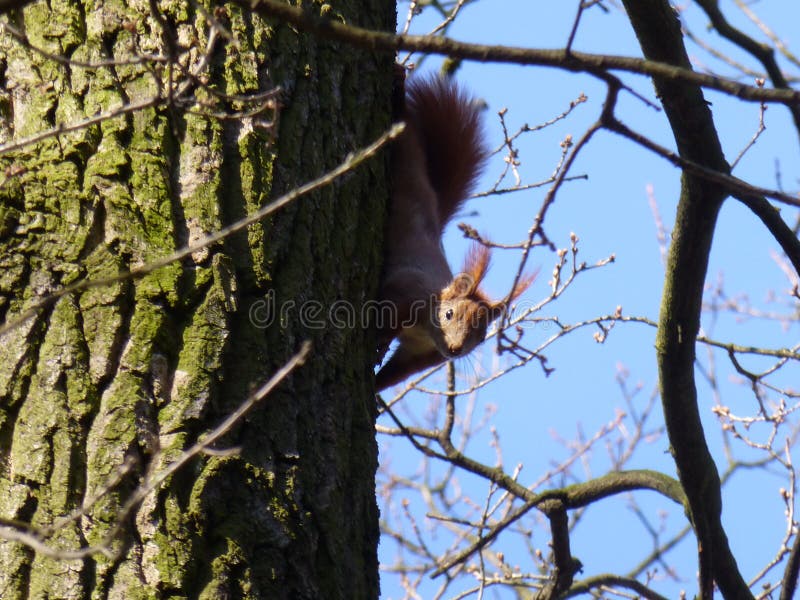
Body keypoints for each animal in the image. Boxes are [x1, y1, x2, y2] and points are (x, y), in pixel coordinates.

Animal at [375, 74, 534, 392]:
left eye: (480, 336)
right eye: (449, 314)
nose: (455, 349)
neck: (425, 332)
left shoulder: (421, 357)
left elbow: (394, 375)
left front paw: (374, 390)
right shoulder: (407, 290)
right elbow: (384, 311)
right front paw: (376, 340)